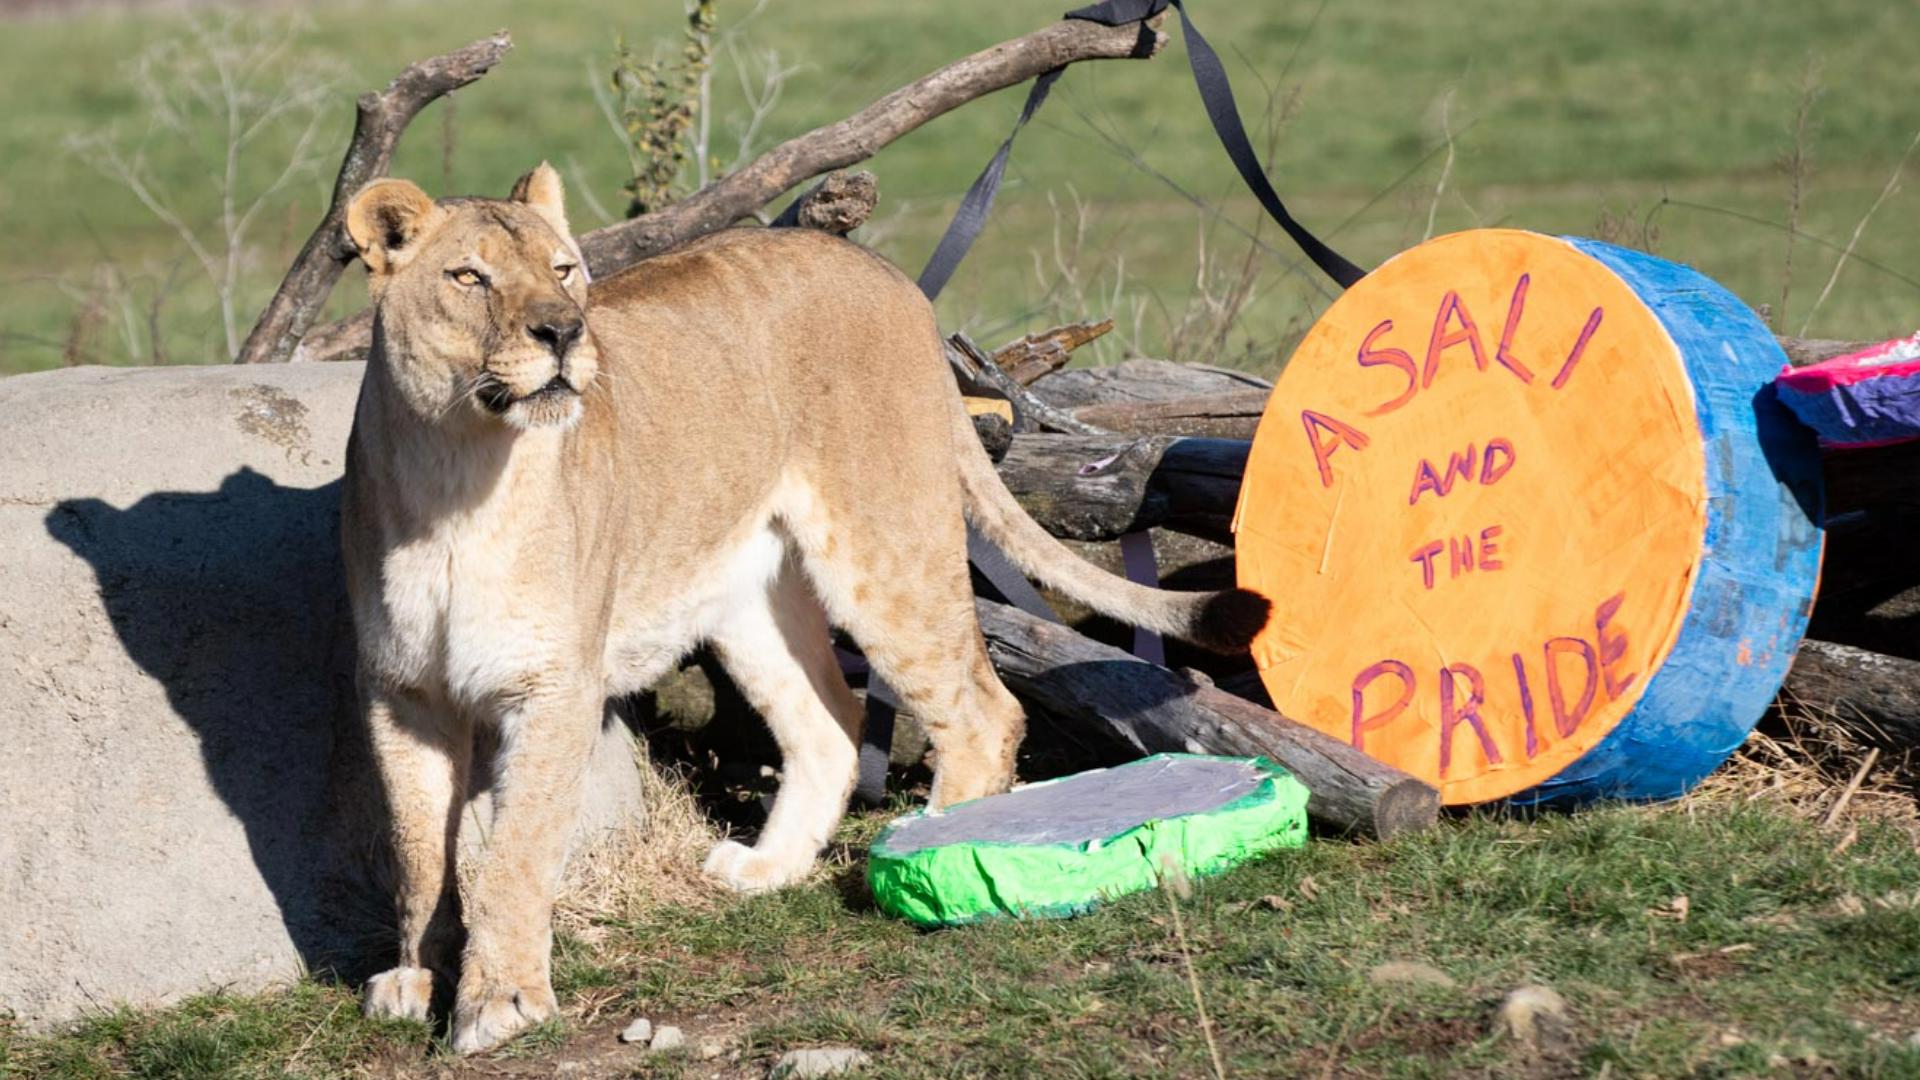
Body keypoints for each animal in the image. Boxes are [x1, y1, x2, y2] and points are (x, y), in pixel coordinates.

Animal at [339, 163, 1270, 1052]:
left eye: (564, 271)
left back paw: (938, 853)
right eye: (470, 277)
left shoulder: (555, 685)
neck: (455, 469)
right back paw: (768, 868)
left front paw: (500, 1003)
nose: (565, 332)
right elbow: (419, 851)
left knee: (982, 709)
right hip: (748, 596)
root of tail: (890, 278)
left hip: (885, 544)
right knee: (830, 721)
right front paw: (414, 979)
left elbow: (515, 855)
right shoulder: (401, 692)